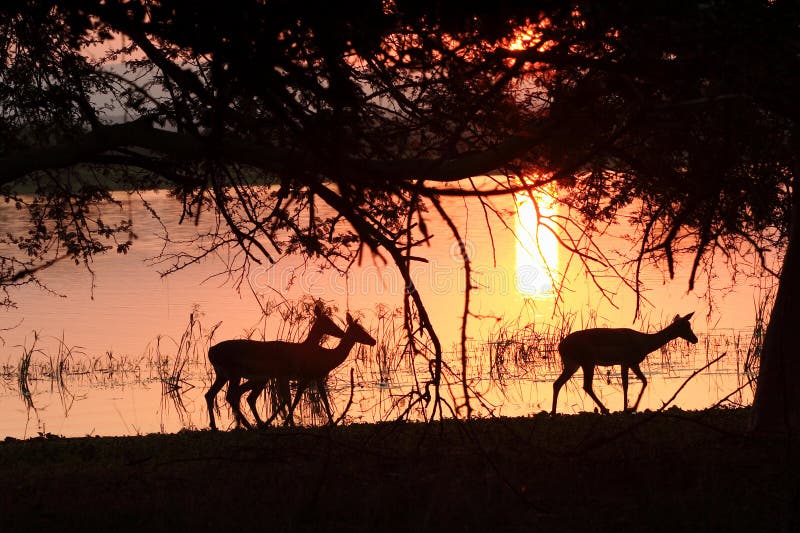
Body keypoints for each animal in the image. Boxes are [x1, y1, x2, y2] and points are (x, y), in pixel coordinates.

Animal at [206, 312, 375, 430]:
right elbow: (294, 399)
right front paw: (289, 423)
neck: (327, 358)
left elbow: (321, 399)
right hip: (236, 373)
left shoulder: (315, 377)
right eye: (360, 330)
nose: (373, 341)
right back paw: (251, 425)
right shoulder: (302, 376)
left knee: (217, 394)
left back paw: (220, 425)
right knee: (233, 395)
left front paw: (331, 423)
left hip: (227, 375)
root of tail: (210, 351)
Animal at [551, 312, 698, 415]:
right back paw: (605, 409)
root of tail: (560, 347)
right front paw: (629, 408)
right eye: (687, 326)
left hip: (573, 364)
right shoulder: (628, 361)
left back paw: (553, 413)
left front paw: (631, 407)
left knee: (557, 383)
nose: (695, 339)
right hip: (587, 361)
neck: (645, 343)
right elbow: (628, 384)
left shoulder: (630, 363)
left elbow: (642, 381)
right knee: (586, 385)